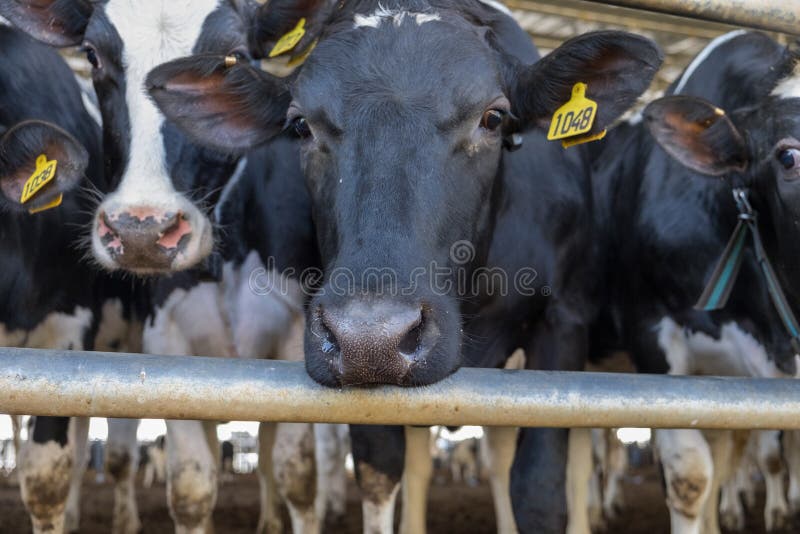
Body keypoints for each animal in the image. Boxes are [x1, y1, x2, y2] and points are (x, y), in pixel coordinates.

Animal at [142, 1, 662, 531]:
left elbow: (539, 488)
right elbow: (381, 472)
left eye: (493, 117)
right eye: (301, 125)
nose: (370, 339)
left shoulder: (564, 322)